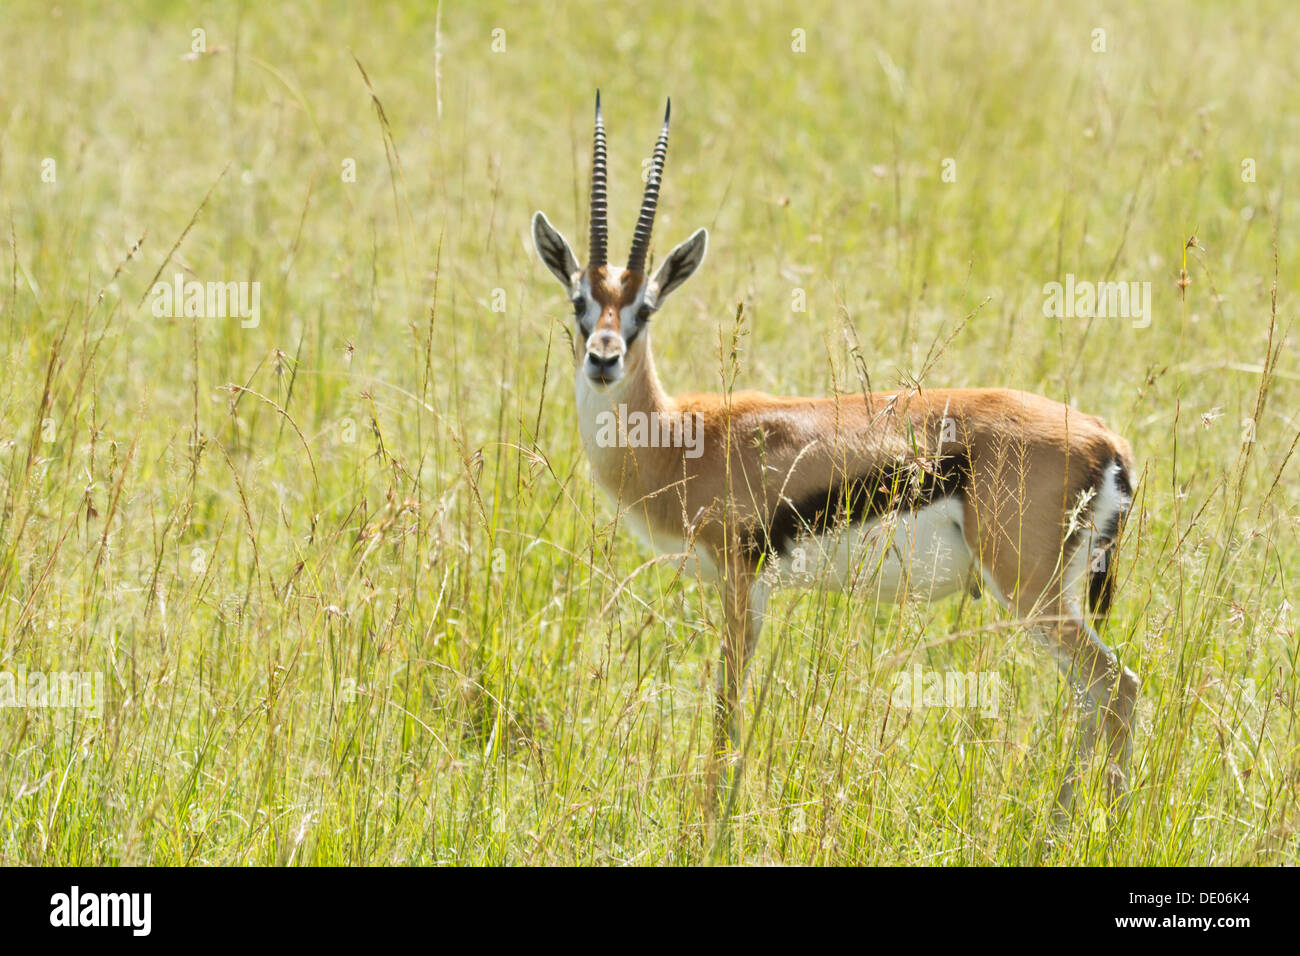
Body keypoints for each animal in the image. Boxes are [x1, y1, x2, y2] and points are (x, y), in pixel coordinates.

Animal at [531, 94, 1139, 813]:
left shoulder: (740, 584)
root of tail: (1106, 439)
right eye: (580, 300)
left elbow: (725, 710)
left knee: (1116, 686)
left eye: (644, 309)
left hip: (1030, 590)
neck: (685, 438)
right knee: (1094, 696)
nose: (603, 359)